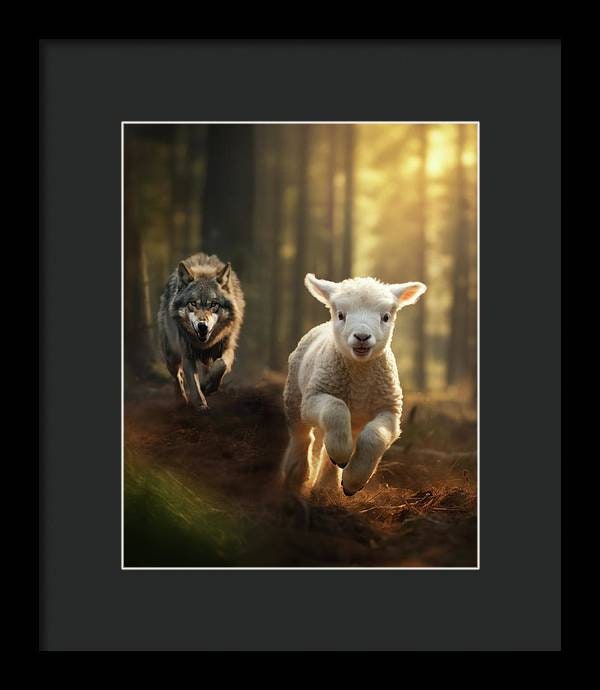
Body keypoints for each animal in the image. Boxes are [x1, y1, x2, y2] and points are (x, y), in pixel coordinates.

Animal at [157, 252, 245, 412]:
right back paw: (181, 400)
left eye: (213, 304)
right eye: (193, 303)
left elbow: (220, 365)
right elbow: (193, 384)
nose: (202, 326)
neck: (204, 343)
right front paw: (201, 404)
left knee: (205, 368)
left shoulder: (227, 347)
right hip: (171, 354)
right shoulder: (187, 355)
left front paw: (210, 386)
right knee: (177, 376)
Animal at [281, 273, 427, 497]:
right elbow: (335, 408)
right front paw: (342, 454)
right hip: (295, 393)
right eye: (341, 315)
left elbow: (374, 438)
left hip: (354, 419)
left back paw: (327, 486)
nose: (362, 337)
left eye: (385, 317)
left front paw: (353, 481)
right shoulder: (315, 395)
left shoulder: (390, 411)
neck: (360, 376)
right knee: (301, 434)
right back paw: (298, 473)